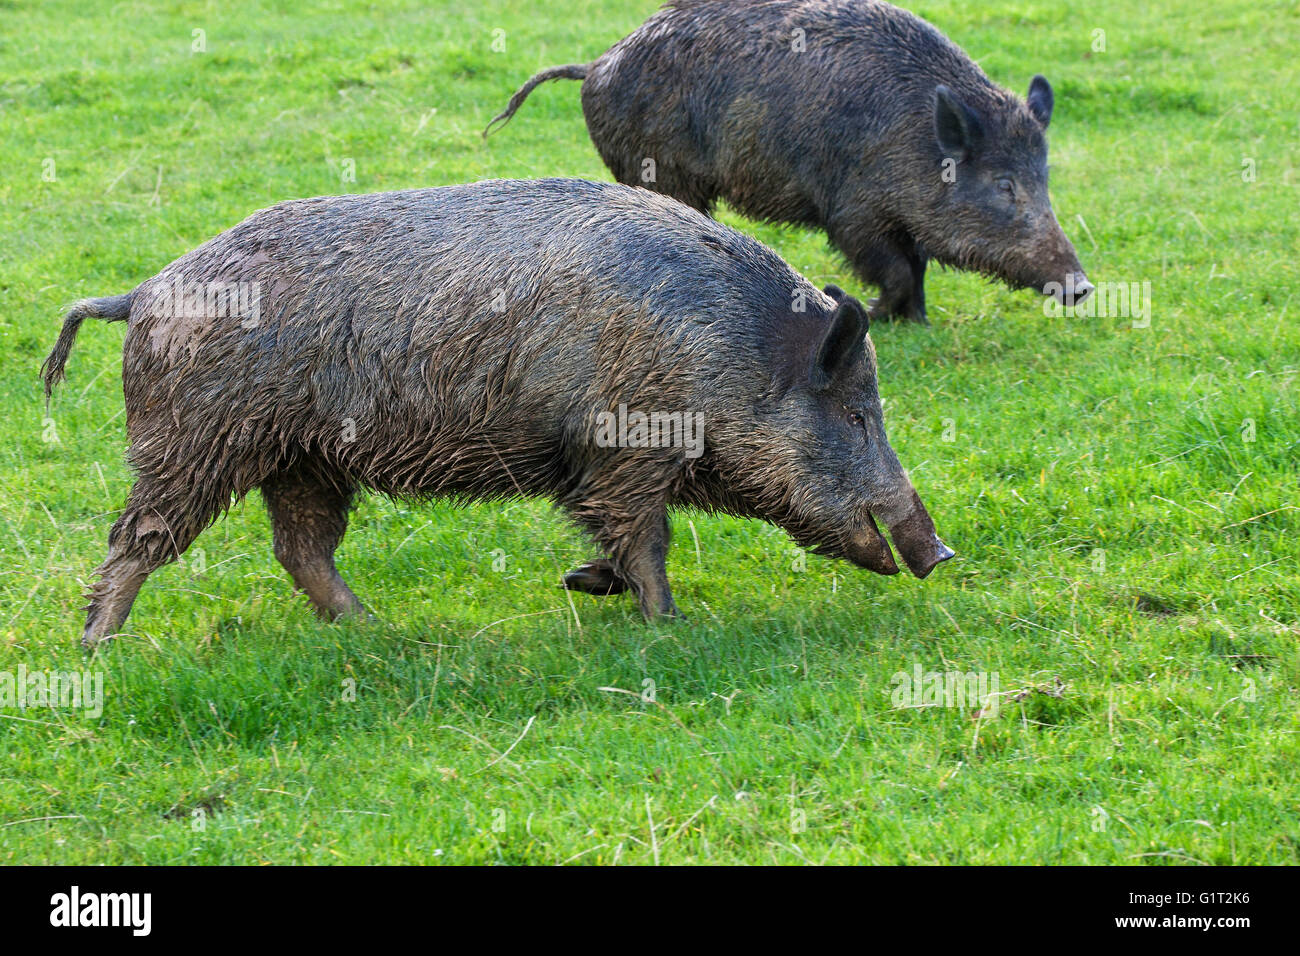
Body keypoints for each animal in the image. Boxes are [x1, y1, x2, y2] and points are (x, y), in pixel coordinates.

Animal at [42, 178, 952, 647]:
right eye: (858, 416)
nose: (940, 552)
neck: (728, 353)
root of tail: (141, 293)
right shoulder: (624, 449)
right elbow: (646, 540)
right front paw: (670, 625)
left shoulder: (593, 466)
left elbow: (613, 538)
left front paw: (585, 584)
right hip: (195, 443)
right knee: (139, 541)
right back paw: (97, 648)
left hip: (304, 461)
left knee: (300, 549)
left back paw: (378, 630)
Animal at [484, 0, 1093, 323]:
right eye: (1005, 184)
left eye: (1045, 179)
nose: (1083, 286)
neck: (916, 141)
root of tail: (594, 64)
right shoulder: (852, 211)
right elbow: (893, 267)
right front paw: (872, 311)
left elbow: (916, 267)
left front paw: (918, 320)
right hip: (655, 167)